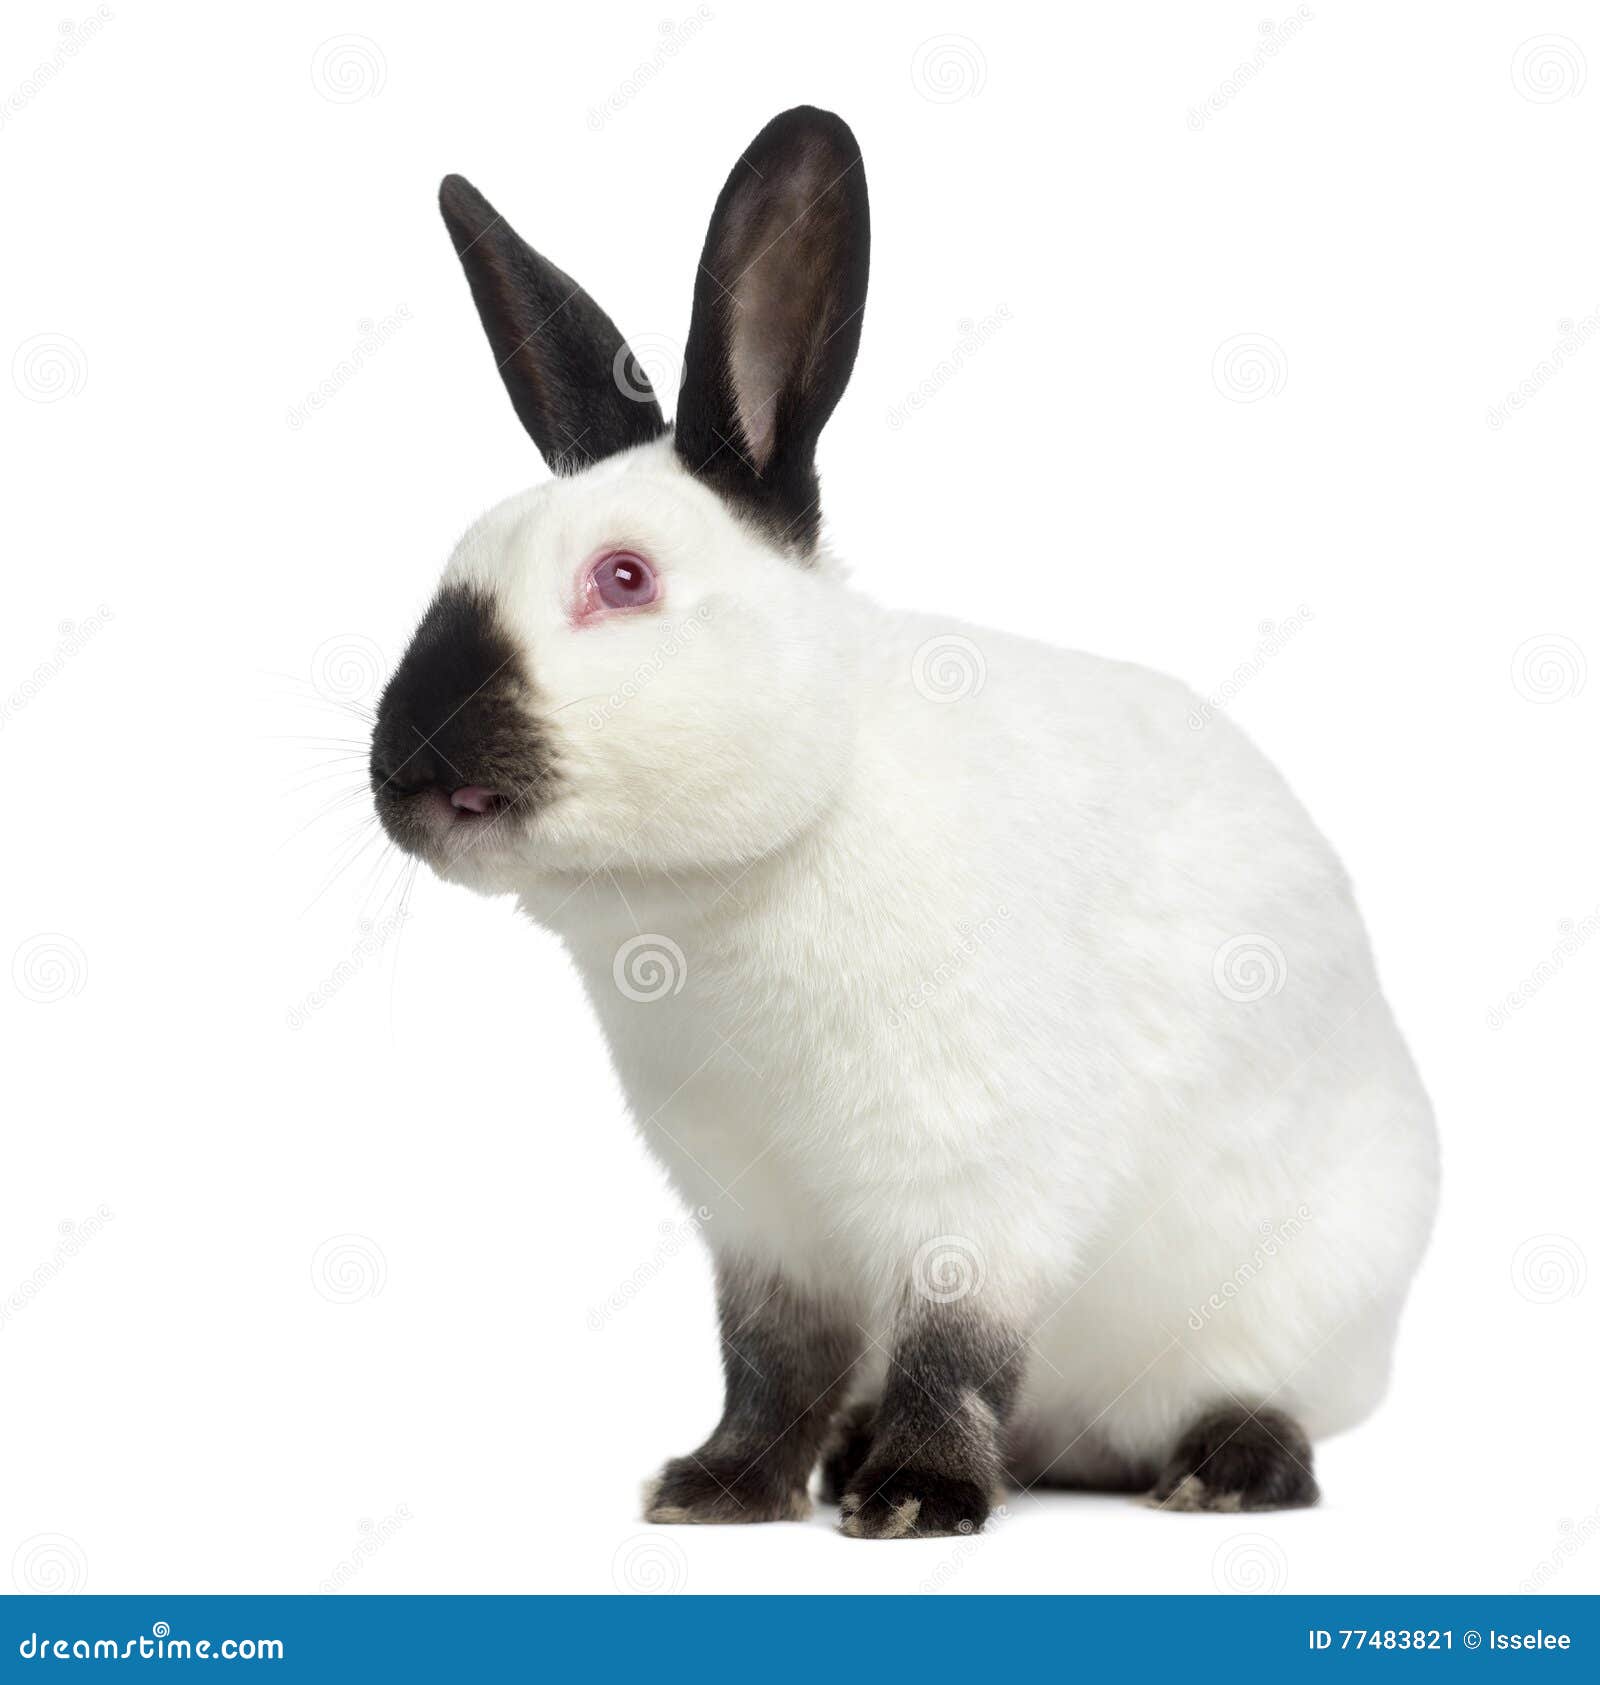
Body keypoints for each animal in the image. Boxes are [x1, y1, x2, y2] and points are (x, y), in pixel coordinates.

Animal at [368, 106, 1438, 1538]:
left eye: (624, 579)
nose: (405, 766)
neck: (754, 873)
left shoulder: (972, 1191)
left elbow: (956, 1349)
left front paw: (916, 1501)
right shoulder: (763, 1225)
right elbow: (771, 1364)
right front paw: (718, 1489)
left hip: (1304, 1293)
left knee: (1270, 1400)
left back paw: (1218, 1470)